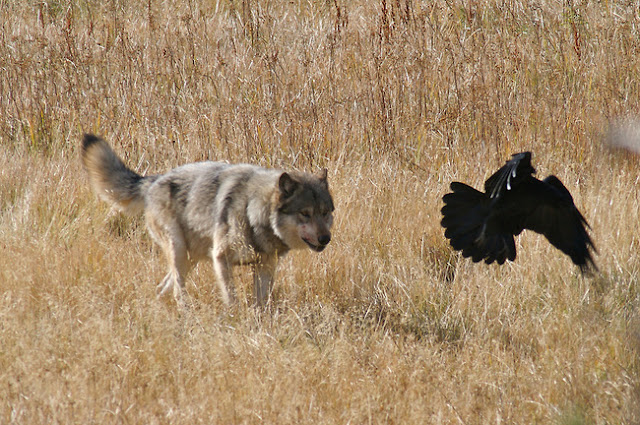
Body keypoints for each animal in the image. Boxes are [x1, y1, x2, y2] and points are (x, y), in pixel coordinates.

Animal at [80, 134, 334, 306]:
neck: (252, 212)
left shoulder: (265, 266)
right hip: (180, 253)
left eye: (325, 212)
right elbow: (232, 299)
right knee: (177, 291)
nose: (326, 239)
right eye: (305, 213)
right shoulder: (221, 260)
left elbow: (261, 305)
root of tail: (153, 180)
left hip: (190, 258)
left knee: (162, 289)